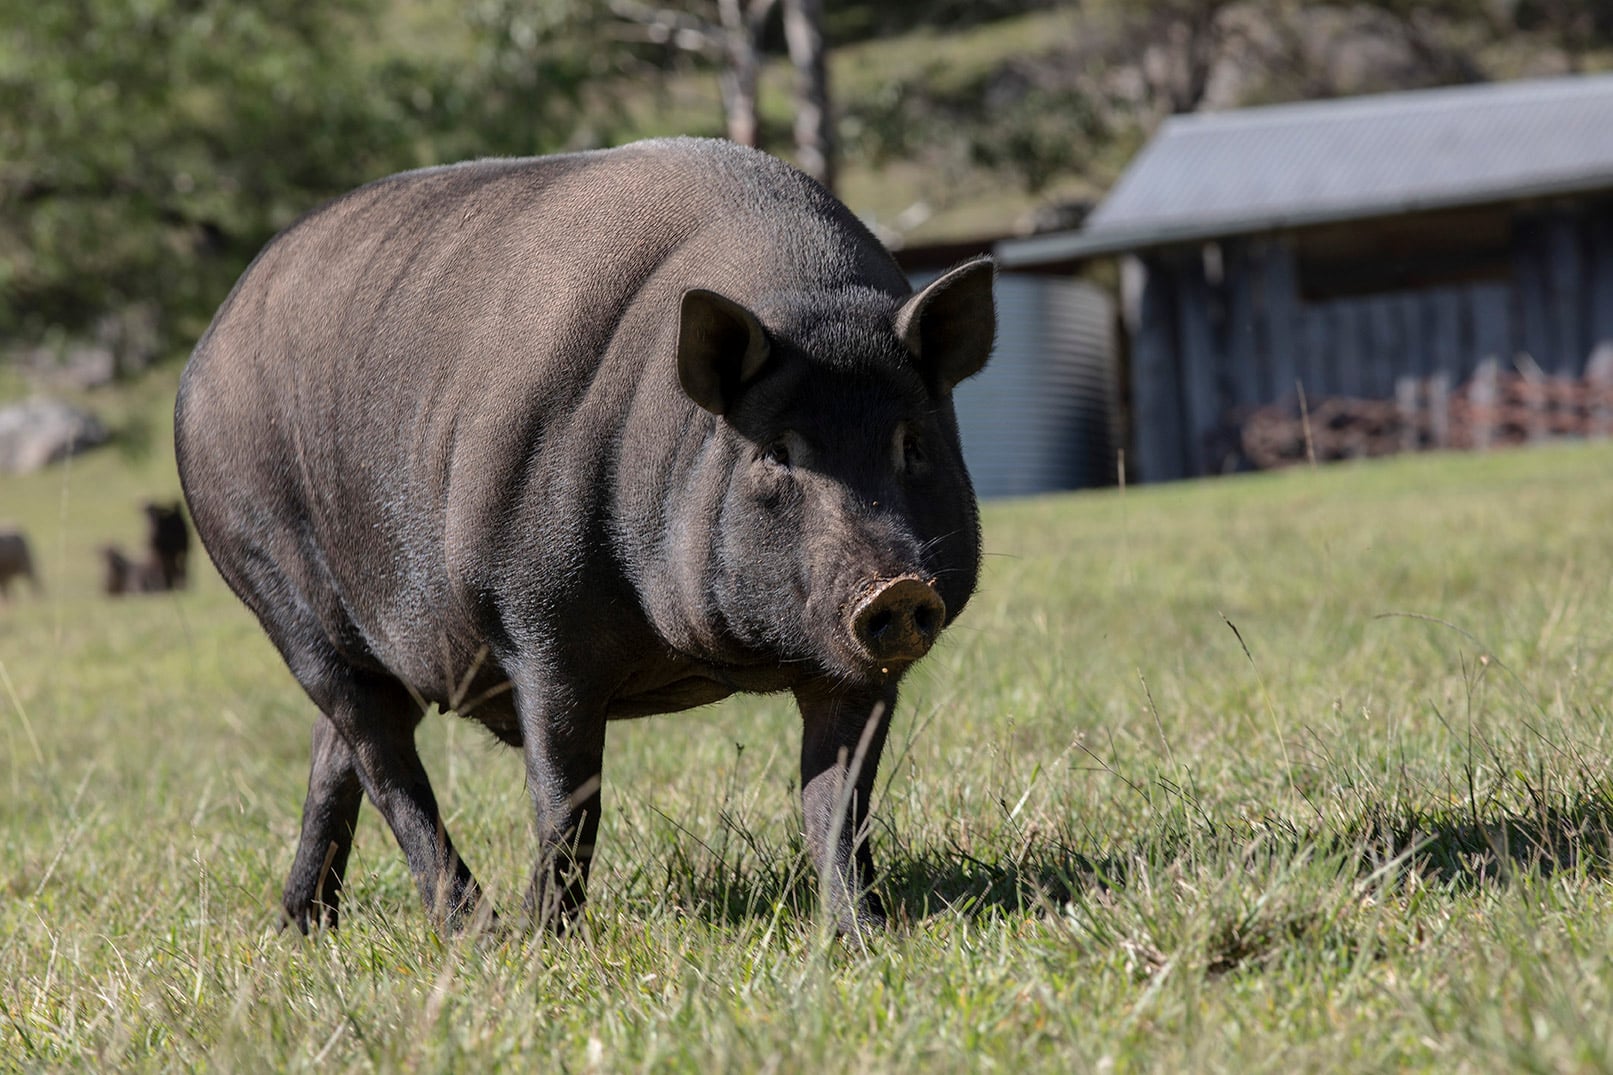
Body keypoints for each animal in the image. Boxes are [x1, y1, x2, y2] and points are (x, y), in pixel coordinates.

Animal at [174, 137, 994, 937]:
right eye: (777, 452)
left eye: (912, 445)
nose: (895, 586)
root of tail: (207, 343)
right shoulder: (536, 622)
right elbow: (568, 794)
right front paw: (547, 939)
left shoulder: (852, 670)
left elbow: (838, 797)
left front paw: (869, 935)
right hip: (274, 587)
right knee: (381, 754)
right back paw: (477, 933)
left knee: (337, 753)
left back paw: (304, 927)